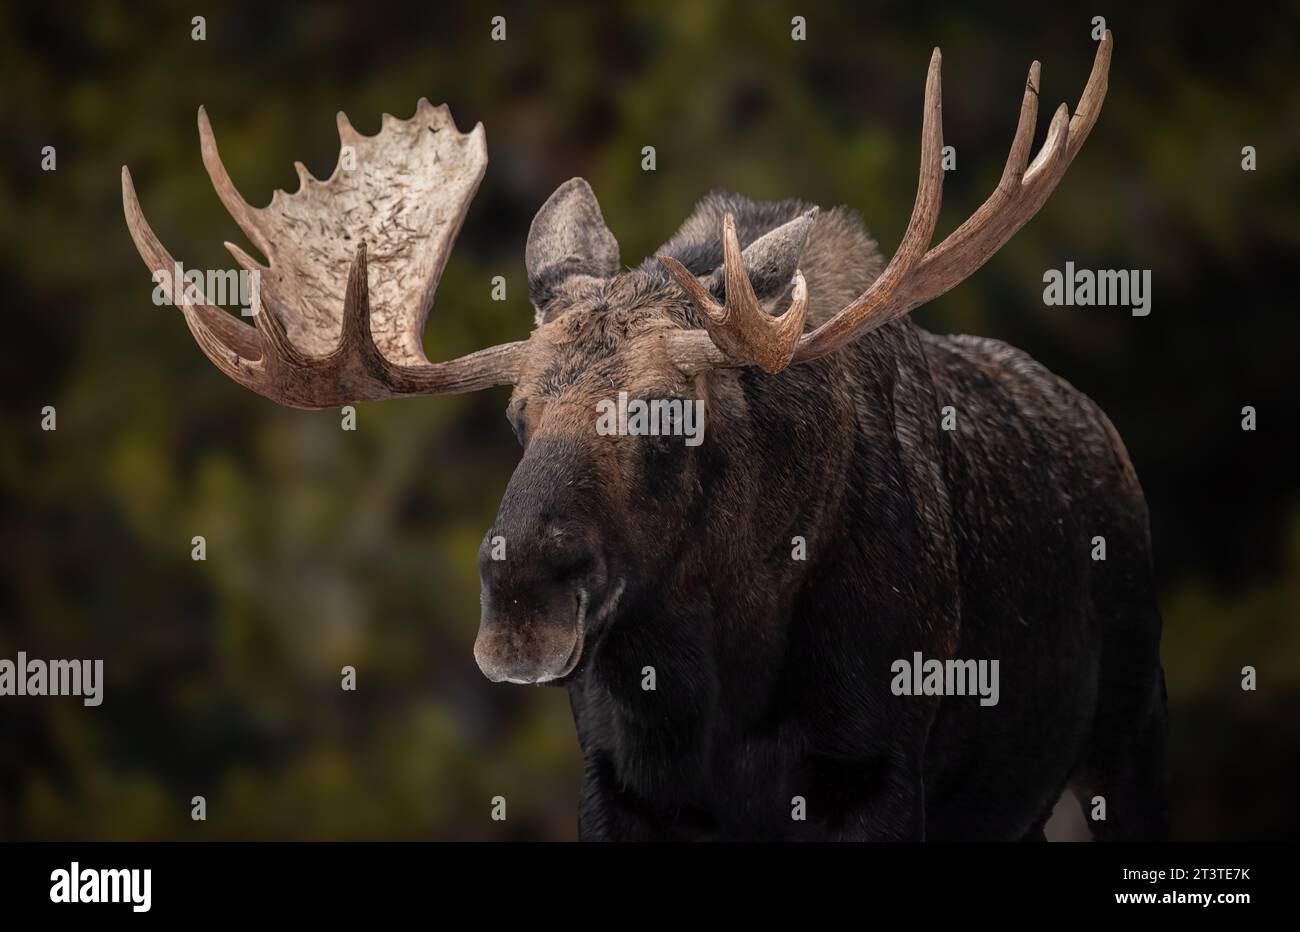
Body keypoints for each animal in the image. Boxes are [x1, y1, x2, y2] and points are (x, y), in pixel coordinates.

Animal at [122, 31, 1167, 841]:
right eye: (514, 416)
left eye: (674, 412)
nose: (522, 597)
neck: (726, 690)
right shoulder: (618, 787)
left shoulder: (875, 776)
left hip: (1124, 741)